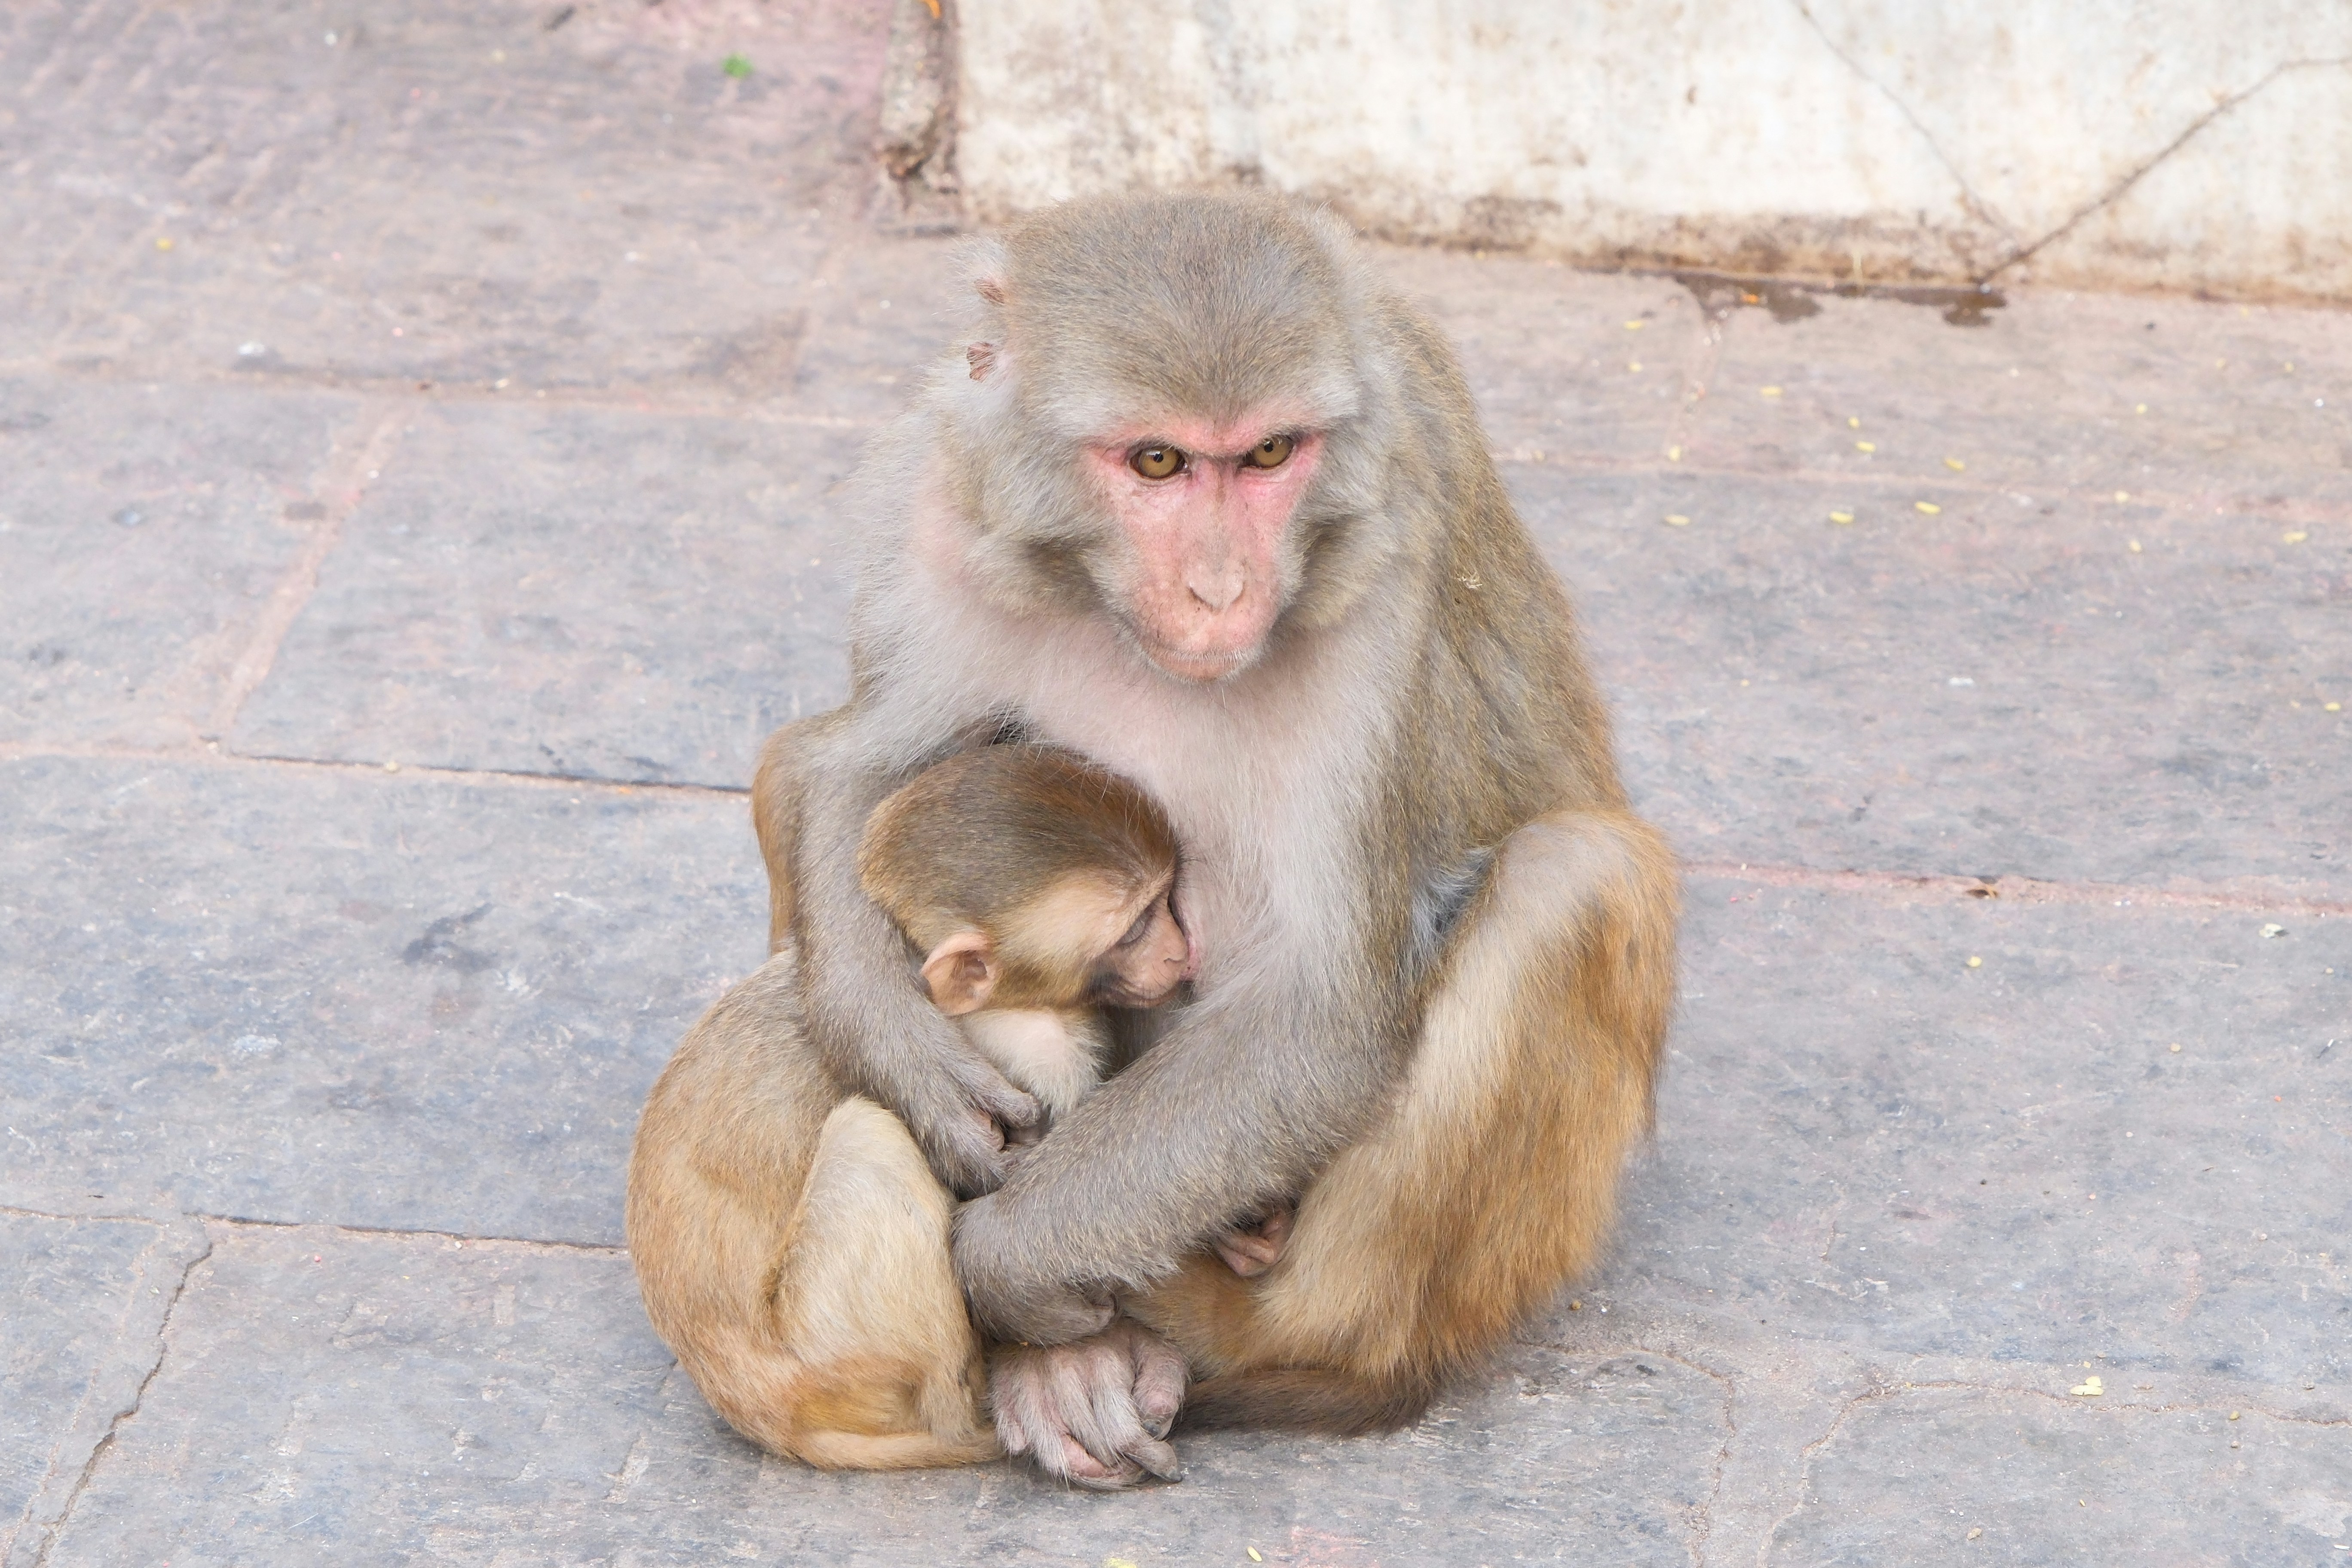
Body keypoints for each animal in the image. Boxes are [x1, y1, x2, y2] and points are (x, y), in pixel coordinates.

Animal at [625, 743, 1214, 1473]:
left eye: (1167, 898)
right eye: (1134, 928)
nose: (1178, 952)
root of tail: (762, 1411)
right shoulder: (1037, 1047)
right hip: (834, 1358)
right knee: (869, 1136)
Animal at [747, 190, 1679, 1487]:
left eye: (1271, 456)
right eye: (1158, 461)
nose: (1224, 590)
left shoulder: (1380, 575)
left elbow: (1319, 1006)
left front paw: (1002, 1268)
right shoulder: (942, 508)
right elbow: (849, 769)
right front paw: (907, 1057)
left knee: (1574, 880)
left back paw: (1269, 1347)